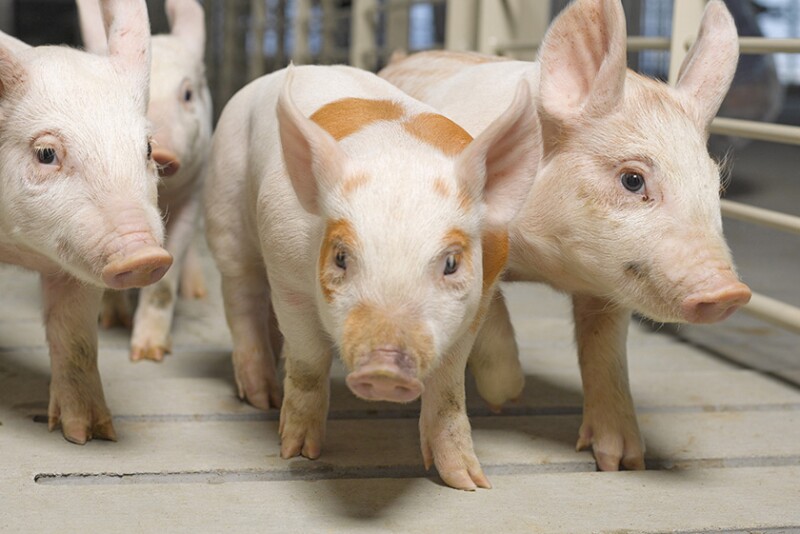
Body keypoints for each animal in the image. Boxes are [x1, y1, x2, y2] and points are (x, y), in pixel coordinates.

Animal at [0, 0, 171, 443]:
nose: (144, 256)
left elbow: (75, 335)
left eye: (147, 148)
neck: (14, 247)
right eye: (46, 153)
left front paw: (89, 434)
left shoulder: (77, 266)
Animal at [77, 0, 213, 361]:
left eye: (188, 94)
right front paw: (112, 323)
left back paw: (197, 293)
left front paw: (148, 355)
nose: (162, 150)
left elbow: (165, 281)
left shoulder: (195, 190)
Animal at [204, 64, 540, 490]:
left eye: (451, 262)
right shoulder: (286, 275)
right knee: (240, 293)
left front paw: (470, 481)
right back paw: (262, 396)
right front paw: (298, 453)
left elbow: (449, 389)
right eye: (341, 257)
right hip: (225, 203)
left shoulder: (478, 299)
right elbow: (308, 363)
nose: (384, 368)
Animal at [380, 0, 751, 471]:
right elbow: (489, 315)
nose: (730, 292)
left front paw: (621, 462)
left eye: (715, 185)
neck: (544, 265)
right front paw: (506, 397)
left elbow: (605, 352)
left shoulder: (609, 286)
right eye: (633, 179)